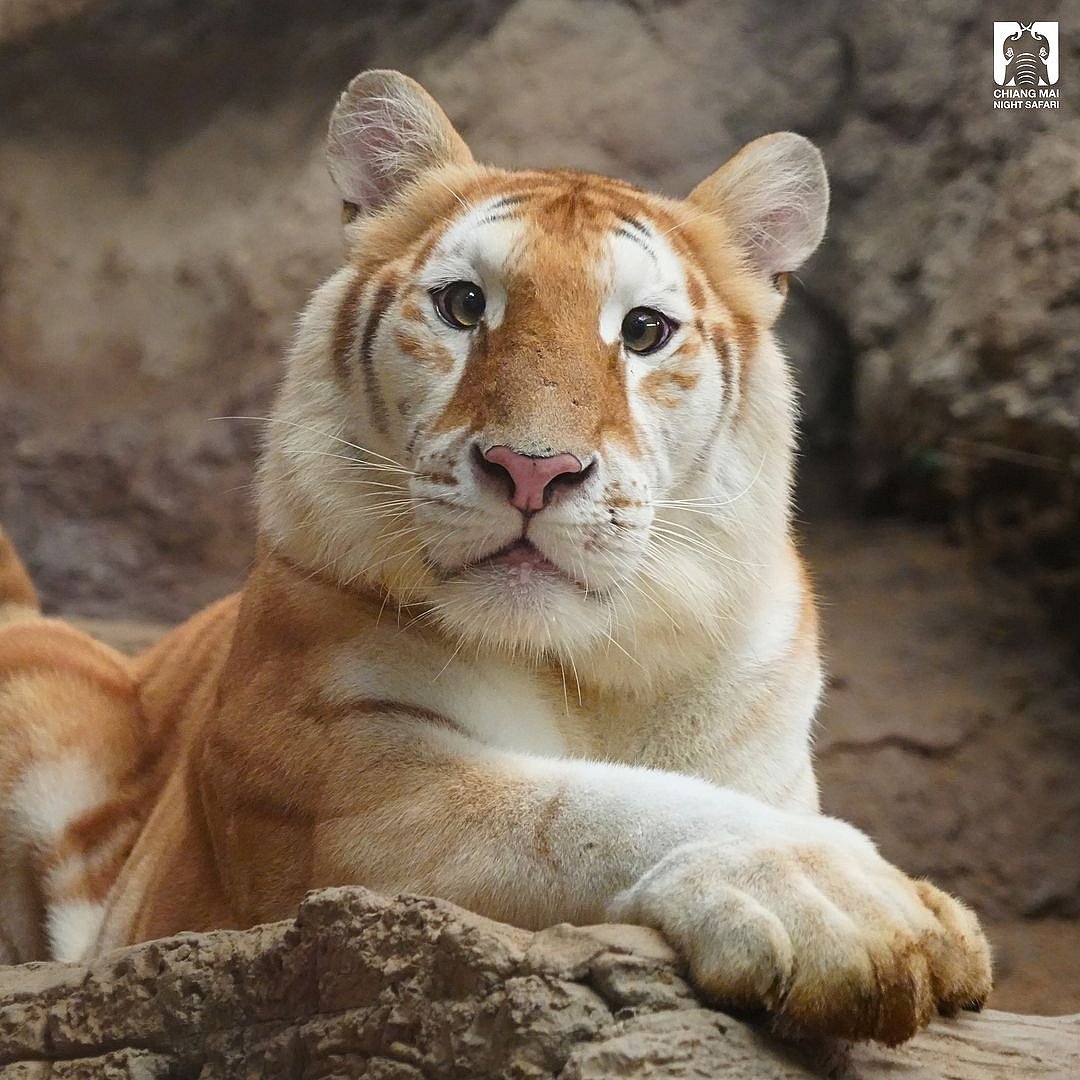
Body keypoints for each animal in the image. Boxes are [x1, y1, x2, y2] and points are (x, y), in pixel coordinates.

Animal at [0, 69, 991, 1045]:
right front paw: (848, 903)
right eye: (465, 305)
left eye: (643, 330)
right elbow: (587, 807)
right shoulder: (340, 787)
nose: (533, 469)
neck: (595, 669)